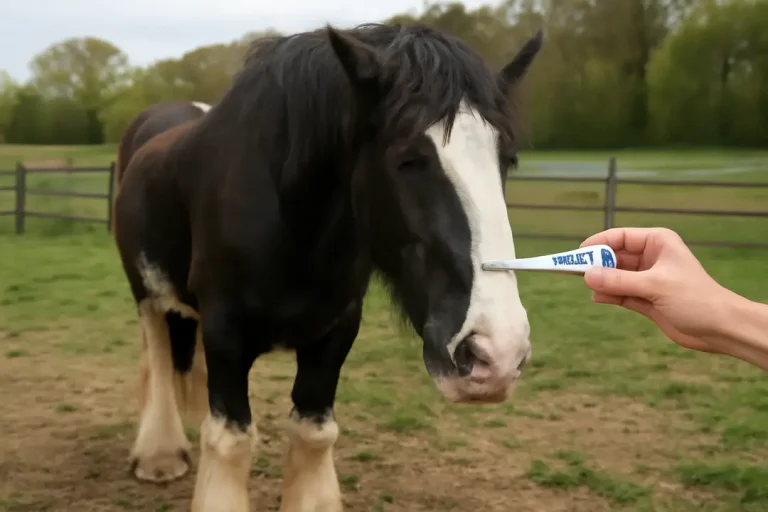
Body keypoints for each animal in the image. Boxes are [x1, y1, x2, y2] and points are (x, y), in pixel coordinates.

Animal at [112, 23, 543, 512]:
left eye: (507, 159)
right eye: (407, 159)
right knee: (158, 355)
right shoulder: (226, 330)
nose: (497, 356)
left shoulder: (336, 330)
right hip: (146, 293)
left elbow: (313, 432)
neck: (288, 218)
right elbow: (231, 439)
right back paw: (159, 453)